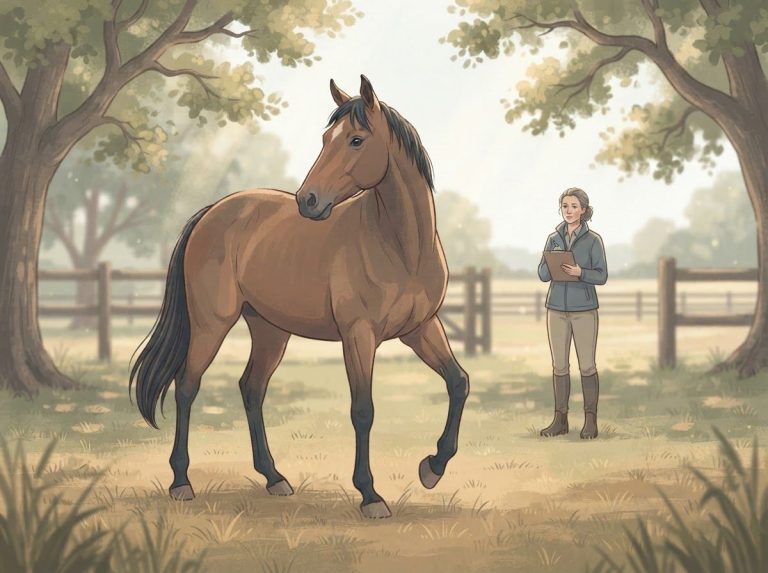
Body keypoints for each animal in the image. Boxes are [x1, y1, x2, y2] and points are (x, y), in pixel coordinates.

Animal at [130, 75, 470, 519]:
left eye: (356, 140)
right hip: (211, 324)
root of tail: (212, 212)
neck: (401, 246)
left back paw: (274, 477)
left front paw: (432, 467)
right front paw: (370, 495)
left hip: (270, 329)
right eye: (327, 138)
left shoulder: (421, 328)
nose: (308, 200)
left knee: (251, 388)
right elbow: (363, 410)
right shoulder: (359, 336)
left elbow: (458, 383)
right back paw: (181, 481)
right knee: (187, 386)